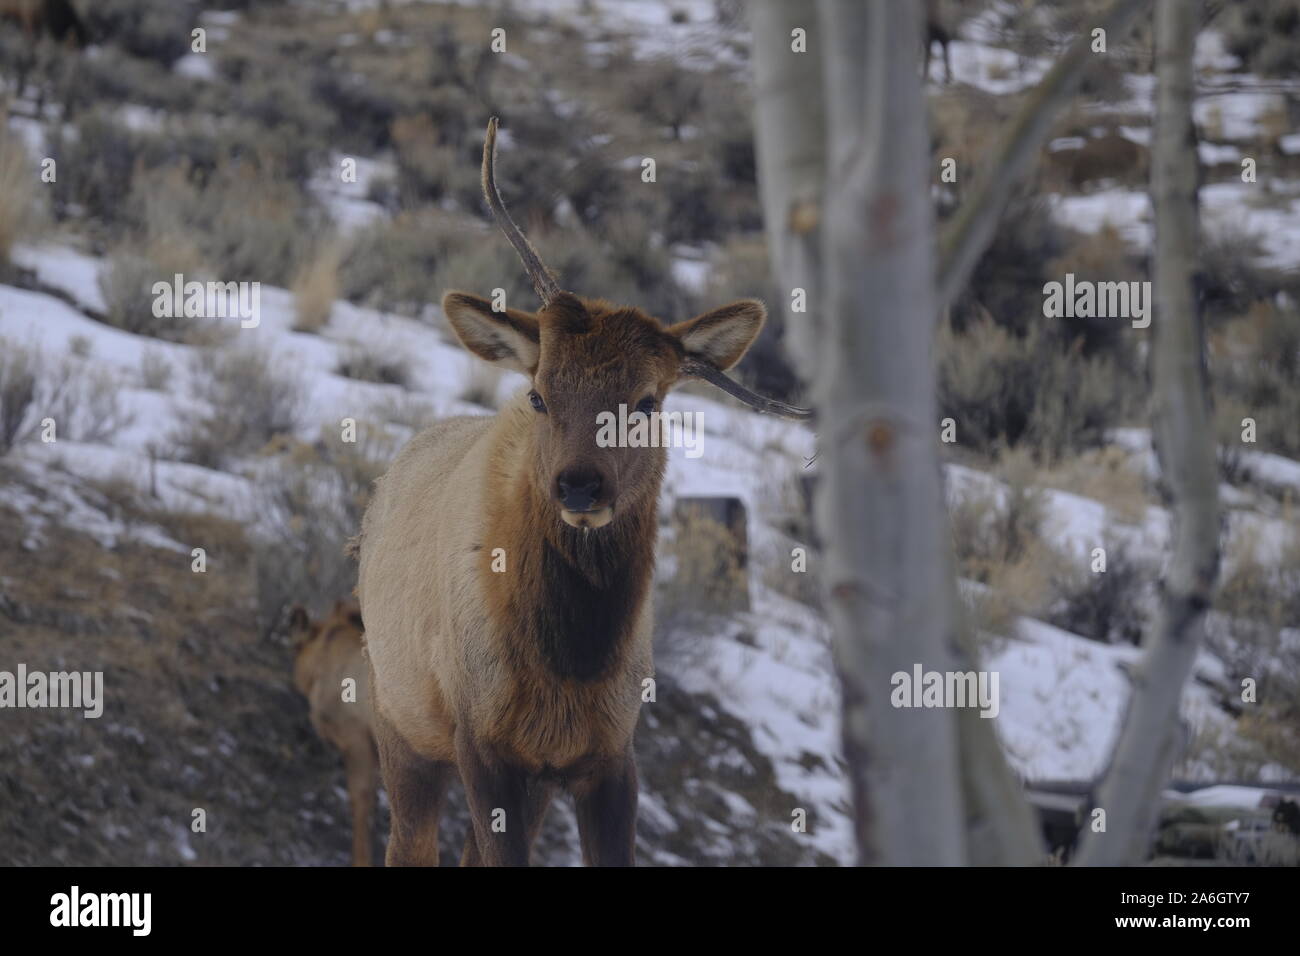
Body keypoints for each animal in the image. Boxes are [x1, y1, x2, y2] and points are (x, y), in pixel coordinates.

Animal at [353, 117, 810, 867]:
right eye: (539, 394)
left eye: (648, 402)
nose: (579, 483)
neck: (571, 662)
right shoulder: (483, 741)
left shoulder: (607, 754)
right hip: (403, 723)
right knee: (408, 844)